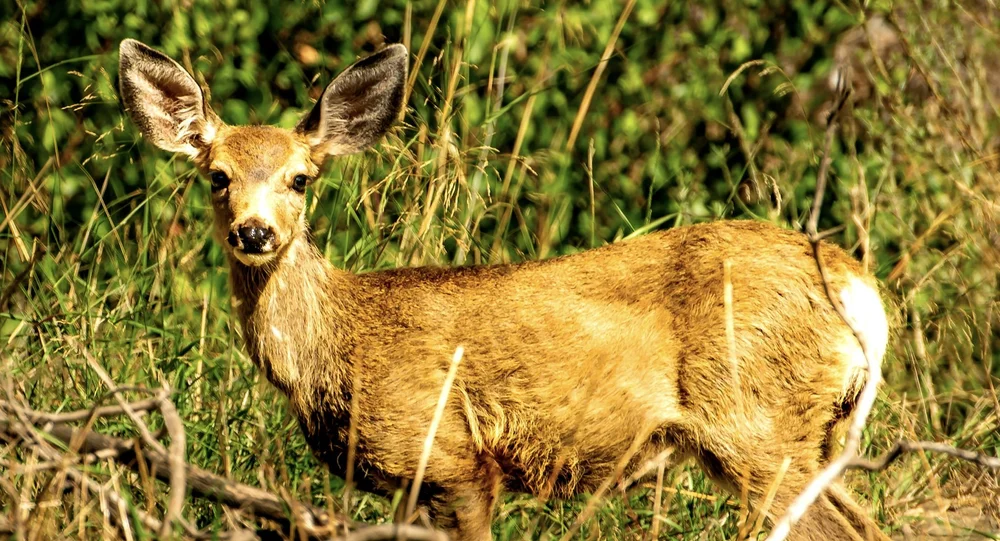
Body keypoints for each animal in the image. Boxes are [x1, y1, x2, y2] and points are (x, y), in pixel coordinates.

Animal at [118, 38, 891, 541]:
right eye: (216, 176)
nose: (253, 232)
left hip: (756, 422)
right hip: (808, 433)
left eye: (301, 179)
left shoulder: (450, 456)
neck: (343, 341)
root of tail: (859, 288)